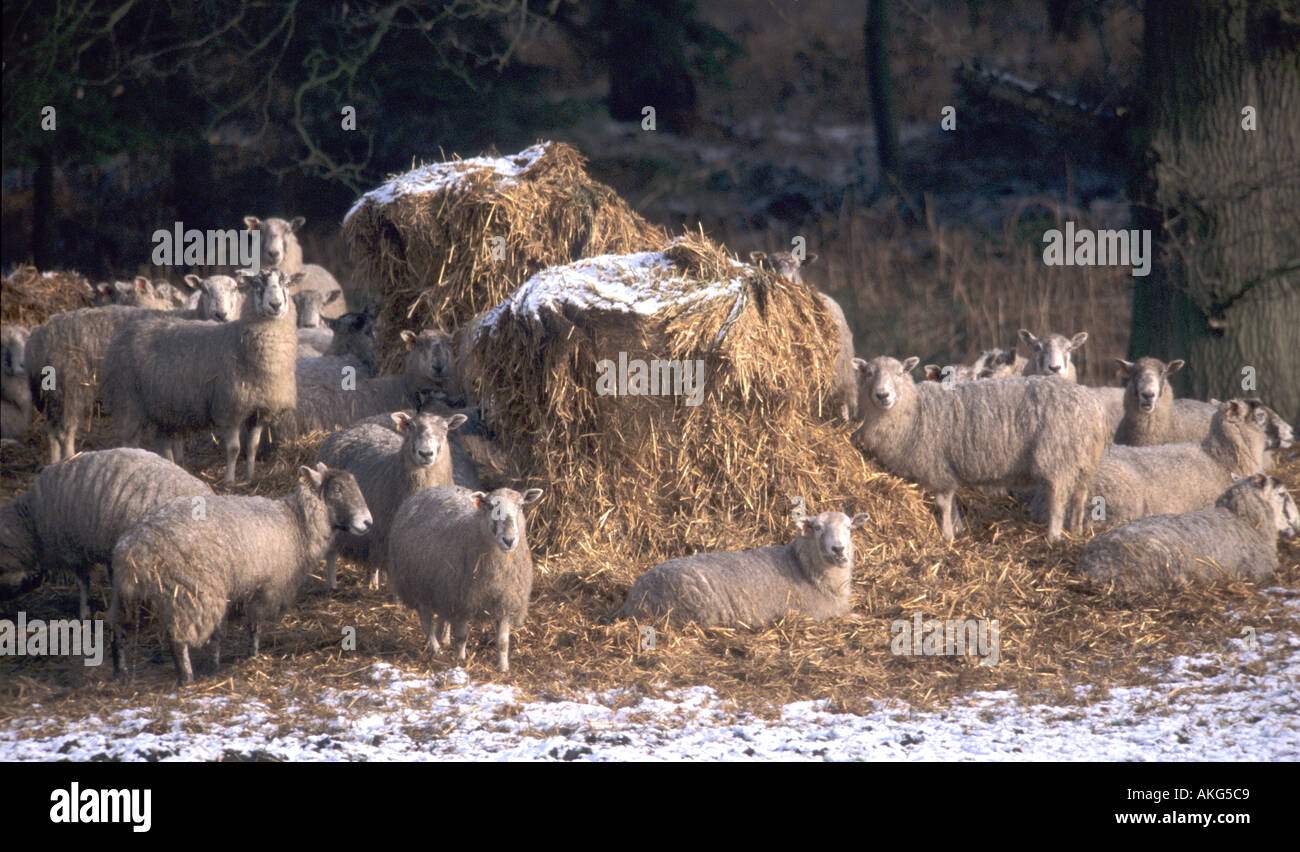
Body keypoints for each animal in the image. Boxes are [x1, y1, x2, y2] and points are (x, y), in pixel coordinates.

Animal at [103, 269, 300, 484]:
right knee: (129, 438)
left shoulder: (260, 412)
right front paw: (229, 480)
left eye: (287, 284)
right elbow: (234, 448)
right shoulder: (229, 409)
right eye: (257, 285)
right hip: (128, 398)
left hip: (163, 407)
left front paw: (250, 477)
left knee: (163, 442)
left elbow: (252, 447)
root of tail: (126, 333)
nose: (275, 304)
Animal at [109, 462, 371, 684]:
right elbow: (254, 625)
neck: (295, 523)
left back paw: (121, 671)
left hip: (127, 593)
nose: (368, 522)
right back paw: (186, 678)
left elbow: (219, 634)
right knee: (178, 639)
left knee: (117, 628)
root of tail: (136, 548)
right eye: (337, 489)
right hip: (190, 593)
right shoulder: (267, 586)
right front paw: (252, 656)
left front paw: (215, 666)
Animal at [315, 410, 467, 590]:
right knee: (331, 556)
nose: (426, 453)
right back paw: (332, 585)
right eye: (410, 426)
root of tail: (345, 429)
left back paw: (372, 585)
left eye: (445, 428)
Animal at [386, 486, 543, 672]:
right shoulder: (461, 600)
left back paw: (444, 639)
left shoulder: (505, 600)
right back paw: (436, 649)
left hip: (441, 588)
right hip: (418, 584)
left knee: (443, 616)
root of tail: (427, 490)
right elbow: (462, 636)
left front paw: (504, 668)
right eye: (490, 506)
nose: (509, 540)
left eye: (521, 506)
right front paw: (461, 660)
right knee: (426, 622)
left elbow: (503, 641)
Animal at [851, 355, 1109, 541]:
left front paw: (947, 536)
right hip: (1083, 458)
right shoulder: (948, 468)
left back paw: (1053, 537)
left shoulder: (938, 468)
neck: (915, 411)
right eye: (869, 373)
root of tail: (1090, 404)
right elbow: (952, 504)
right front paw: (957, 529)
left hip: (1057, 455)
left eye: (899, 373)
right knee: (1080, 495)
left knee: (1058, 498)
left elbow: (943, 504)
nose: (883, 395)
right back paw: (1075, 531)